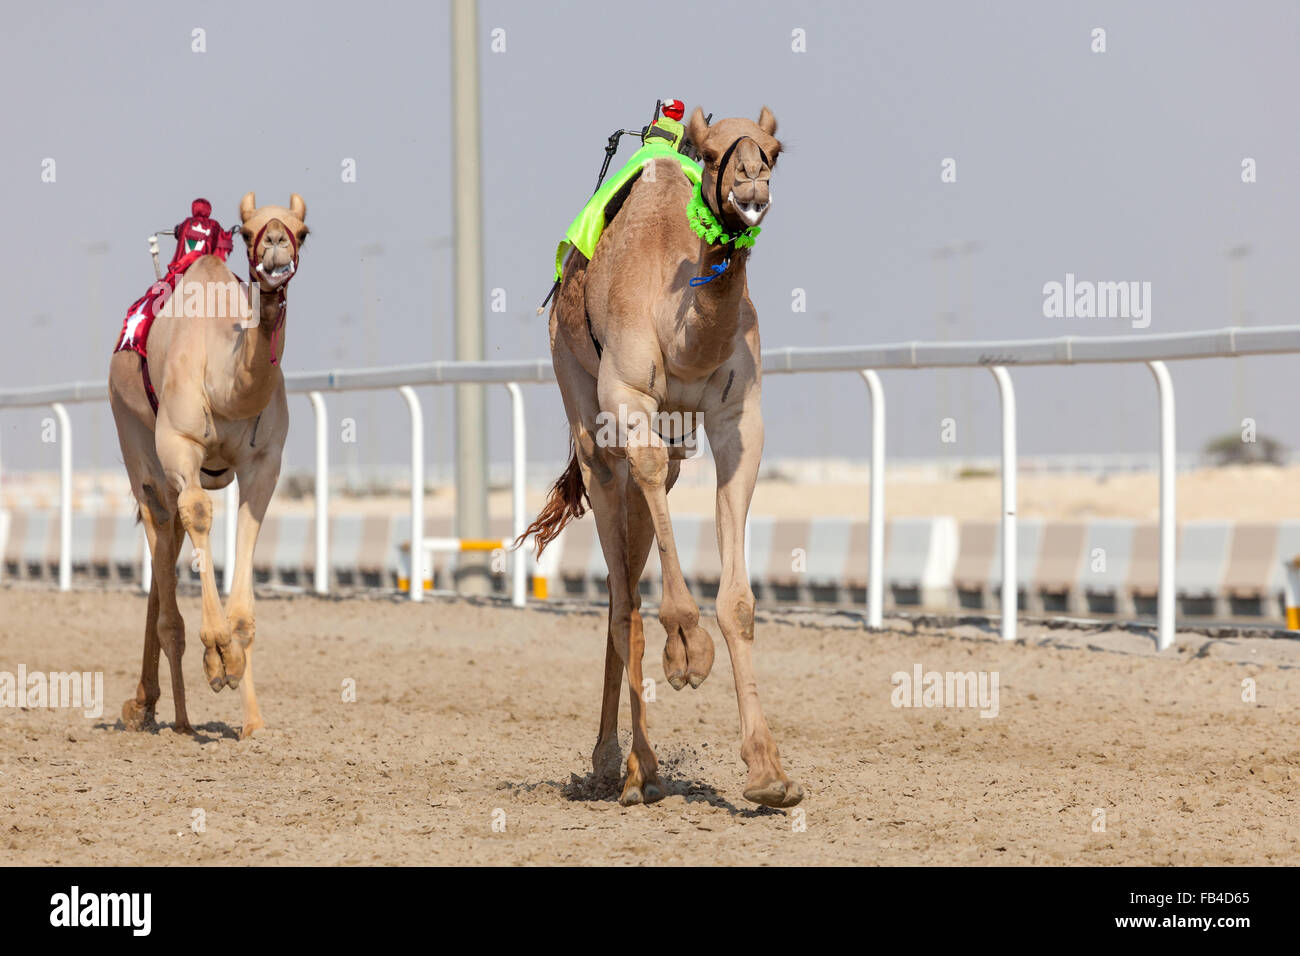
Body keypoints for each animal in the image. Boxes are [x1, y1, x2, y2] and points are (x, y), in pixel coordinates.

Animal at [108, 192, 307, 739]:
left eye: (304, 231)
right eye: (247, 231)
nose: (277, 245)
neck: (226, 382)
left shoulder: (264, 462)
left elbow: (247, 535)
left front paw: (248, 704)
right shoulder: (179, 445)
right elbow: (200, 517)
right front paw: (216, 657)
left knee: (167, 544)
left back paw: (150, 704)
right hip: (139, 449)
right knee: (163, 528)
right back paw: (173, 717)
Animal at [524, 108, 802, 808]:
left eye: (776, 150)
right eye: (711, 151)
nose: (751, 186)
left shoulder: (738, 420)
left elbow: (739, 603)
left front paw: (769, 773)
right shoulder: (627, 397)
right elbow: (652, 596)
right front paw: (687, 652)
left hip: (670, 444)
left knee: (627, 571)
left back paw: (626, 765)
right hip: (584, 413)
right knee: (623, 589)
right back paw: (627, 767)